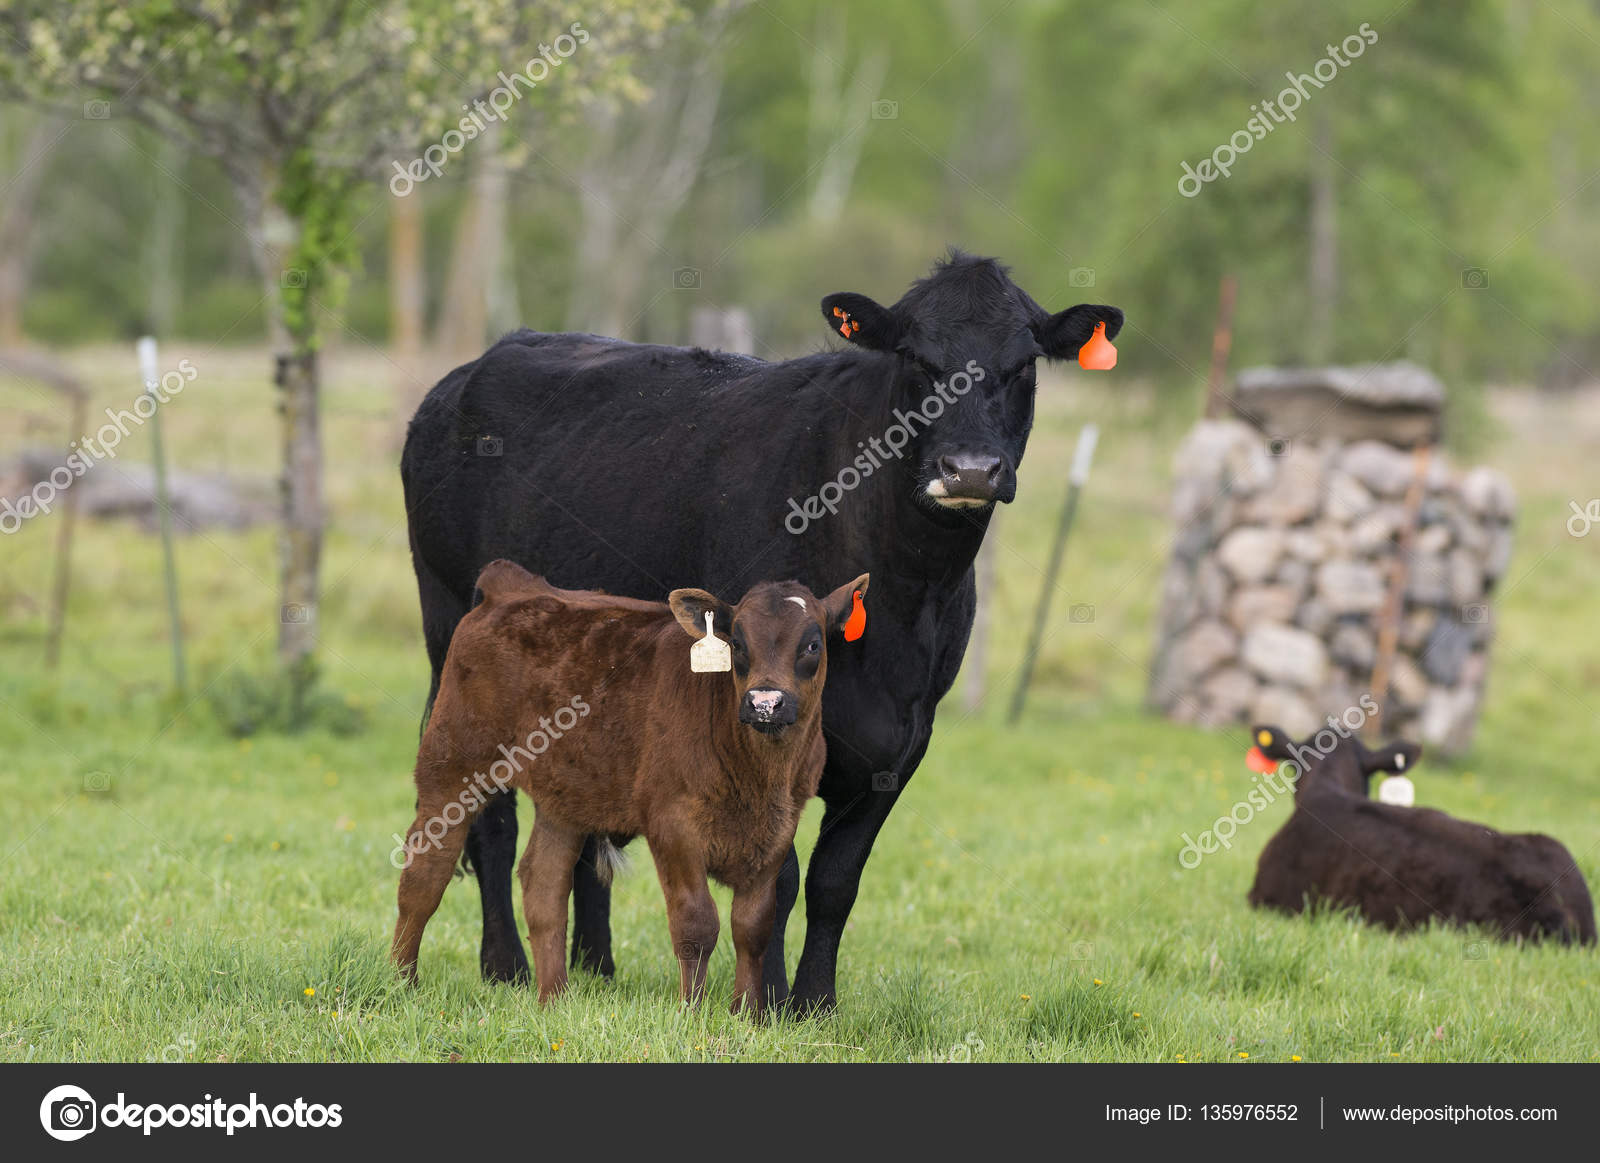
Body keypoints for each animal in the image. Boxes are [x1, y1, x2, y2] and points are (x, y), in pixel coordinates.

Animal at [392, 562, 867, 1015]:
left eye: (813, 645)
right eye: (738, 643)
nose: (765, 703)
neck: (758, 775)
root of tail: (511, 586)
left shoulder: (779, 828)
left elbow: (753, 926)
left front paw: (747, 1017)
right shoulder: (671, 823)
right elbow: (697, 923)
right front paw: (692, 1013)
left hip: (564, 793)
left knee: (543, 885)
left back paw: (555, 1001)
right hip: (452, 764)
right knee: (425, 873)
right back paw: (403, 984)